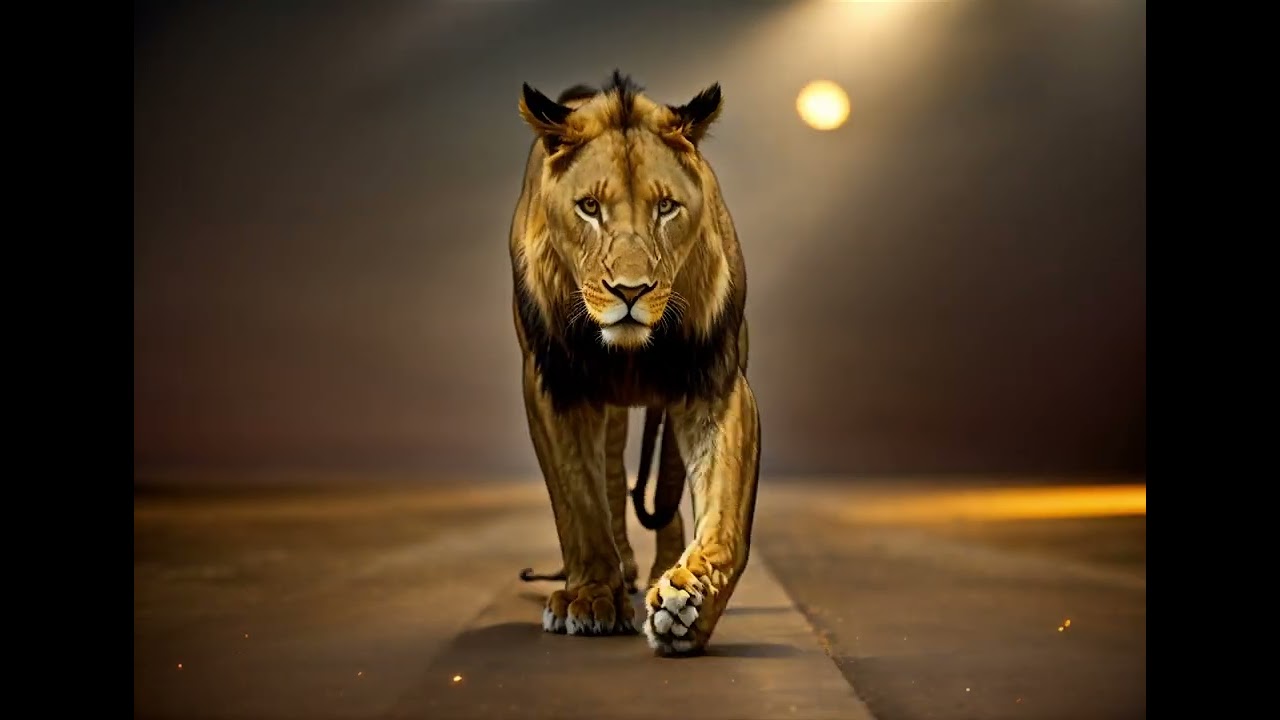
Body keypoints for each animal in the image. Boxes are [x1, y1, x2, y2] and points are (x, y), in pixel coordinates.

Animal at [509, 71, 761, 656]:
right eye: (589, 207)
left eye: (666, 208)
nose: (630, 291)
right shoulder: (553, 385)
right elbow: (579, 501)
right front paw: (590, 597)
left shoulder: (718, 382)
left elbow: (726, 511)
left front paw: (691, 603)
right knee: (606, 474)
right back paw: (620, 572)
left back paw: (661, 570)